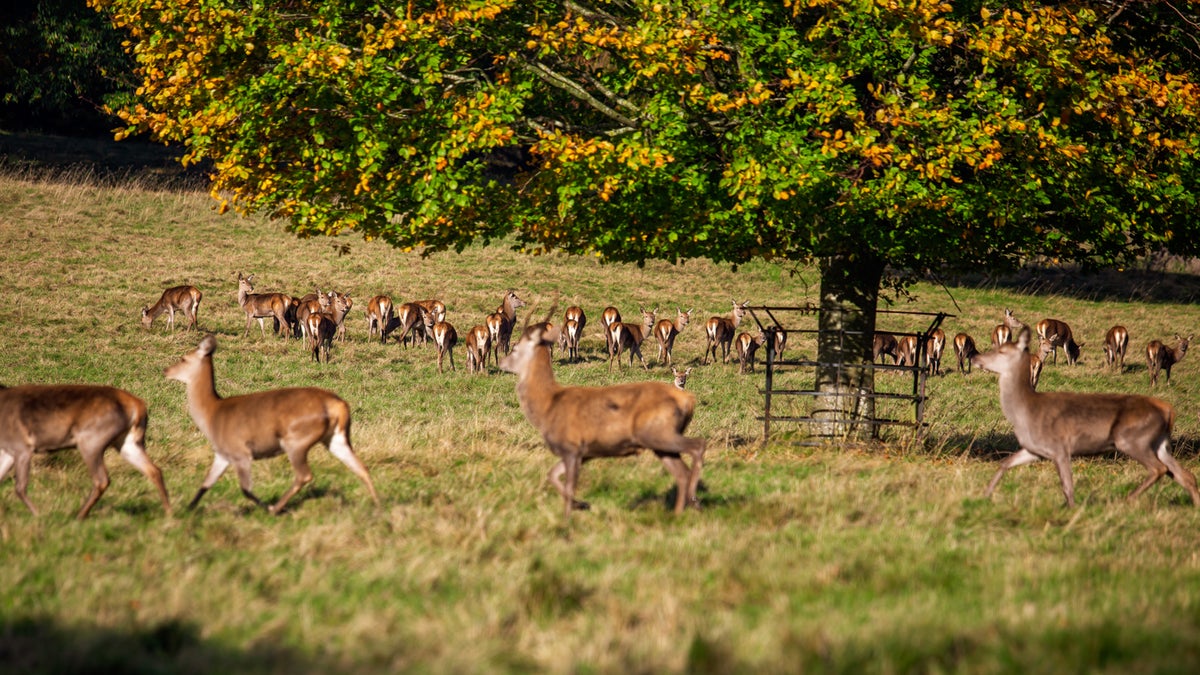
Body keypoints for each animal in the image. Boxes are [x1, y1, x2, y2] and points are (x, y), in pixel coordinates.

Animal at [0, 384, 171, 519]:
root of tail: (138, 406)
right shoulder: (9, 450)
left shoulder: (22, 447)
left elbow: (20, 487)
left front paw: (39, 515)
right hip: (127, 442)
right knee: (153, 470)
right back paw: (168, 513)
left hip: (90, 440)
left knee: (102, 479)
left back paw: (79, 516)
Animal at [165, 335, 380, 514]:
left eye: (183, 358)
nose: (165, 370)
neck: (212, 413)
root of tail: (339, 406)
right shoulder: (222, 454)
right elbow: (205, 484)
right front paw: (184, 510)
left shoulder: (240, 452)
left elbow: (245, 488)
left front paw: (266, 506)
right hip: (335, 438)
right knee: (360, 467)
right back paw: (377, 507)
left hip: (295, 441)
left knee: (304, 475)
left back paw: (276, 508)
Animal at [498, 320, 706, 523]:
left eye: (516, 347)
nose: (502, 362)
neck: (548, 405)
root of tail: (688, 400)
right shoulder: (581, 452)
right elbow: (553, 476)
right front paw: (582, 504)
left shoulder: (572, 448)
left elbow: (568, 487)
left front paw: (568, 521)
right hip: (660, 443)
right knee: (682, 473)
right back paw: (680, 512)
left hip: (658, 434)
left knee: (698, 446)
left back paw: (694, 501)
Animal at [972, 328, 1200, 508]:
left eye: (1001, 352)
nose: (976, 358)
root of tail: (1169, 411)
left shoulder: (1058, 447)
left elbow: (1067, 486)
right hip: (1154, 444)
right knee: (1181, 474)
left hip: (1134, 440)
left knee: (1165, 470)